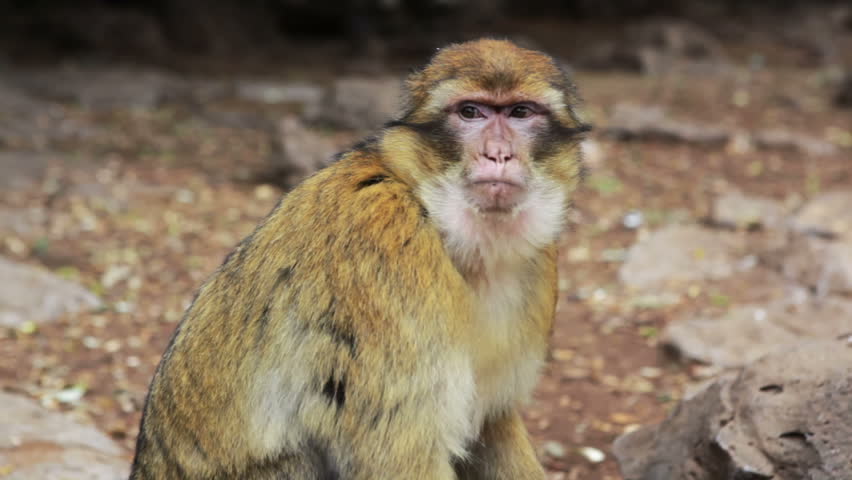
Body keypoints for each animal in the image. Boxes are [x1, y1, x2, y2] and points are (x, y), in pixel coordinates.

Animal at [130, 38, 590, 480]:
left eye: (520, 112)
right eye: (471, 112)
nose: (498, 154)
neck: (437, 216)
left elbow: (490, 427)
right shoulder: (386, 242)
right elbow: (396, 458)